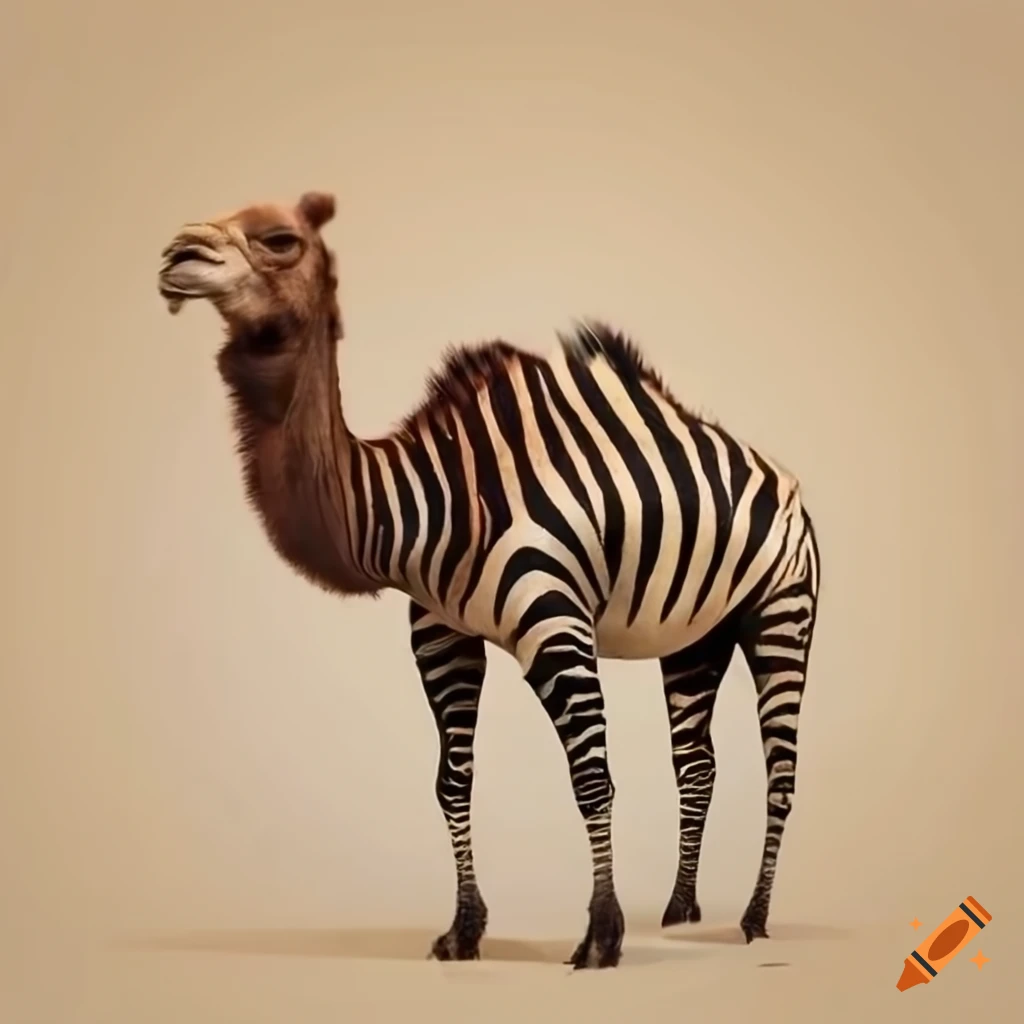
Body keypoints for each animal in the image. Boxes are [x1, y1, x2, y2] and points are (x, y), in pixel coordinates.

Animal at [158, 190, 822, 970]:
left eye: (280, 241)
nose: (175, 256)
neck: (430, 501)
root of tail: (775, 471)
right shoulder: (440, 636)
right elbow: (452, 782)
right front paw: (462, 931)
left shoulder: (555, 624)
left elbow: (591, 777)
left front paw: (601, 937)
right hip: (697, 637)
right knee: (698, 763)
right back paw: (681, 911)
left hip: (782, 614)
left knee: (781, 770)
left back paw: (753, 918)